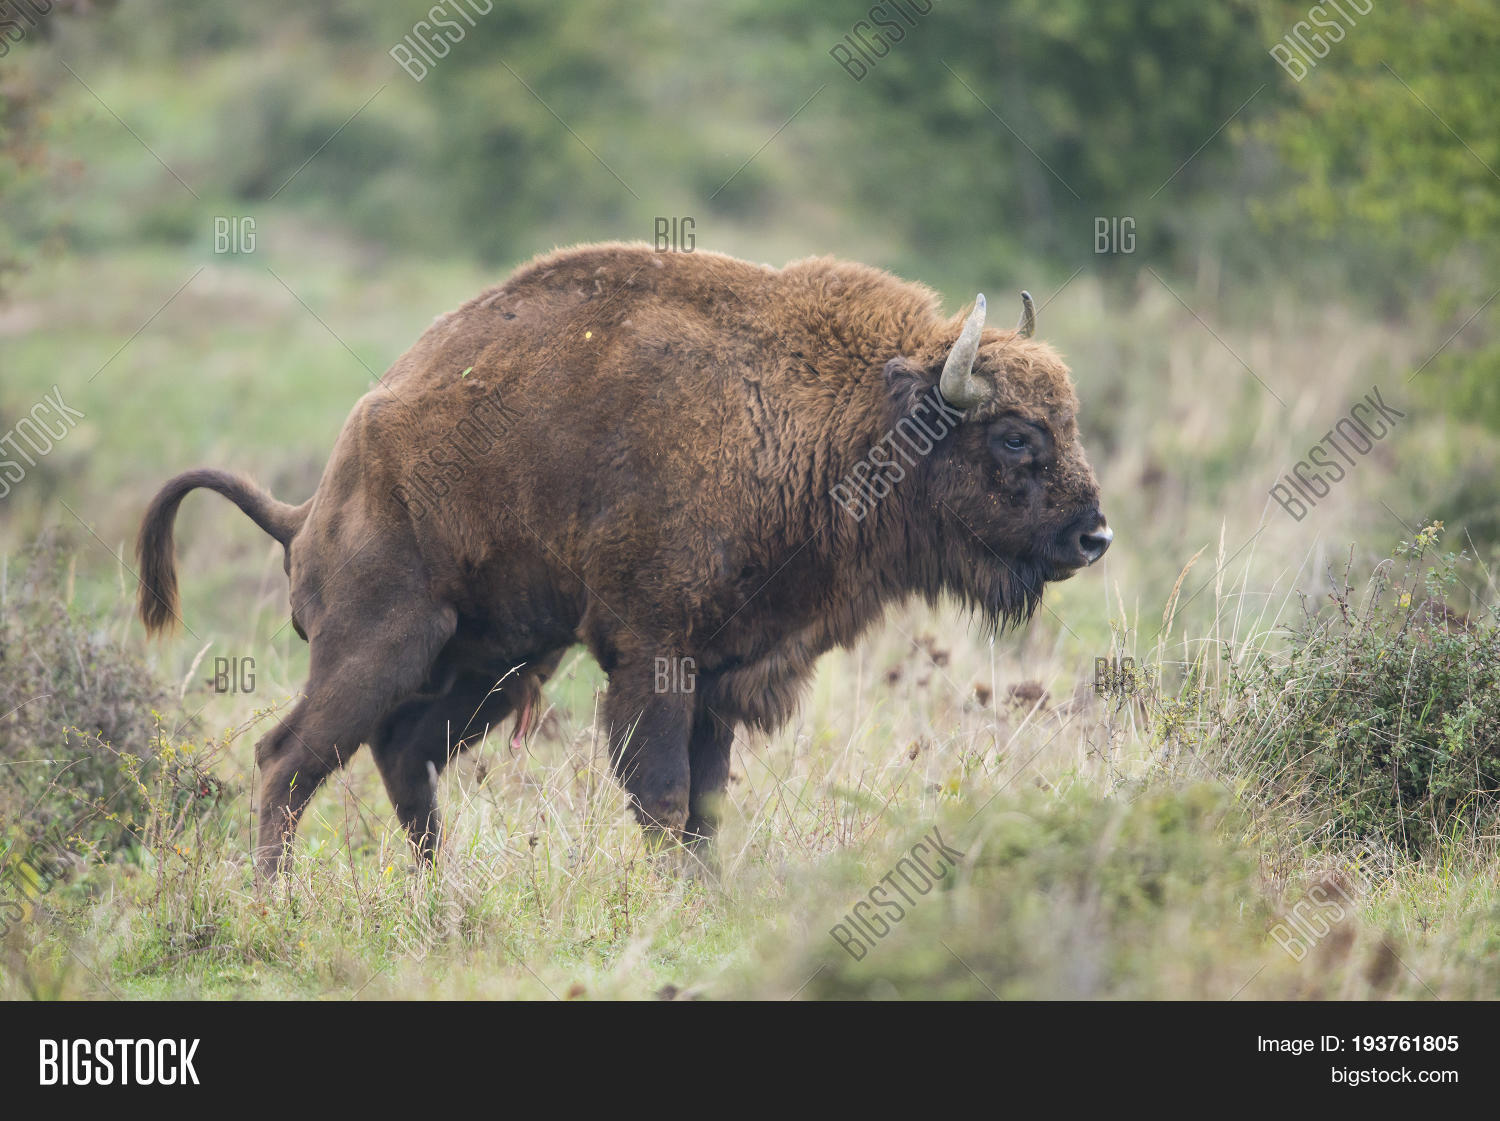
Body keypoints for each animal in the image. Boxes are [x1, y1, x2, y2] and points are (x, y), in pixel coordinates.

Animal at [136, 243, 1111, 879]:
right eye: (1016, 435)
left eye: (1067, 419)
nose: (1093, 536)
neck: (838, 412)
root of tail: (310, 505)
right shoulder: (654, 655)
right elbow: (666, 796)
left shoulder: (728, 669)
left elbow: (706, 806)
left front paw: (706, 895)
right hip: (381, 645)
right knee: (288, 757)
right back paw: (275, 898)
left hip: (494, 664)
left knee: (402, 756)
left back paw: (432, 891)